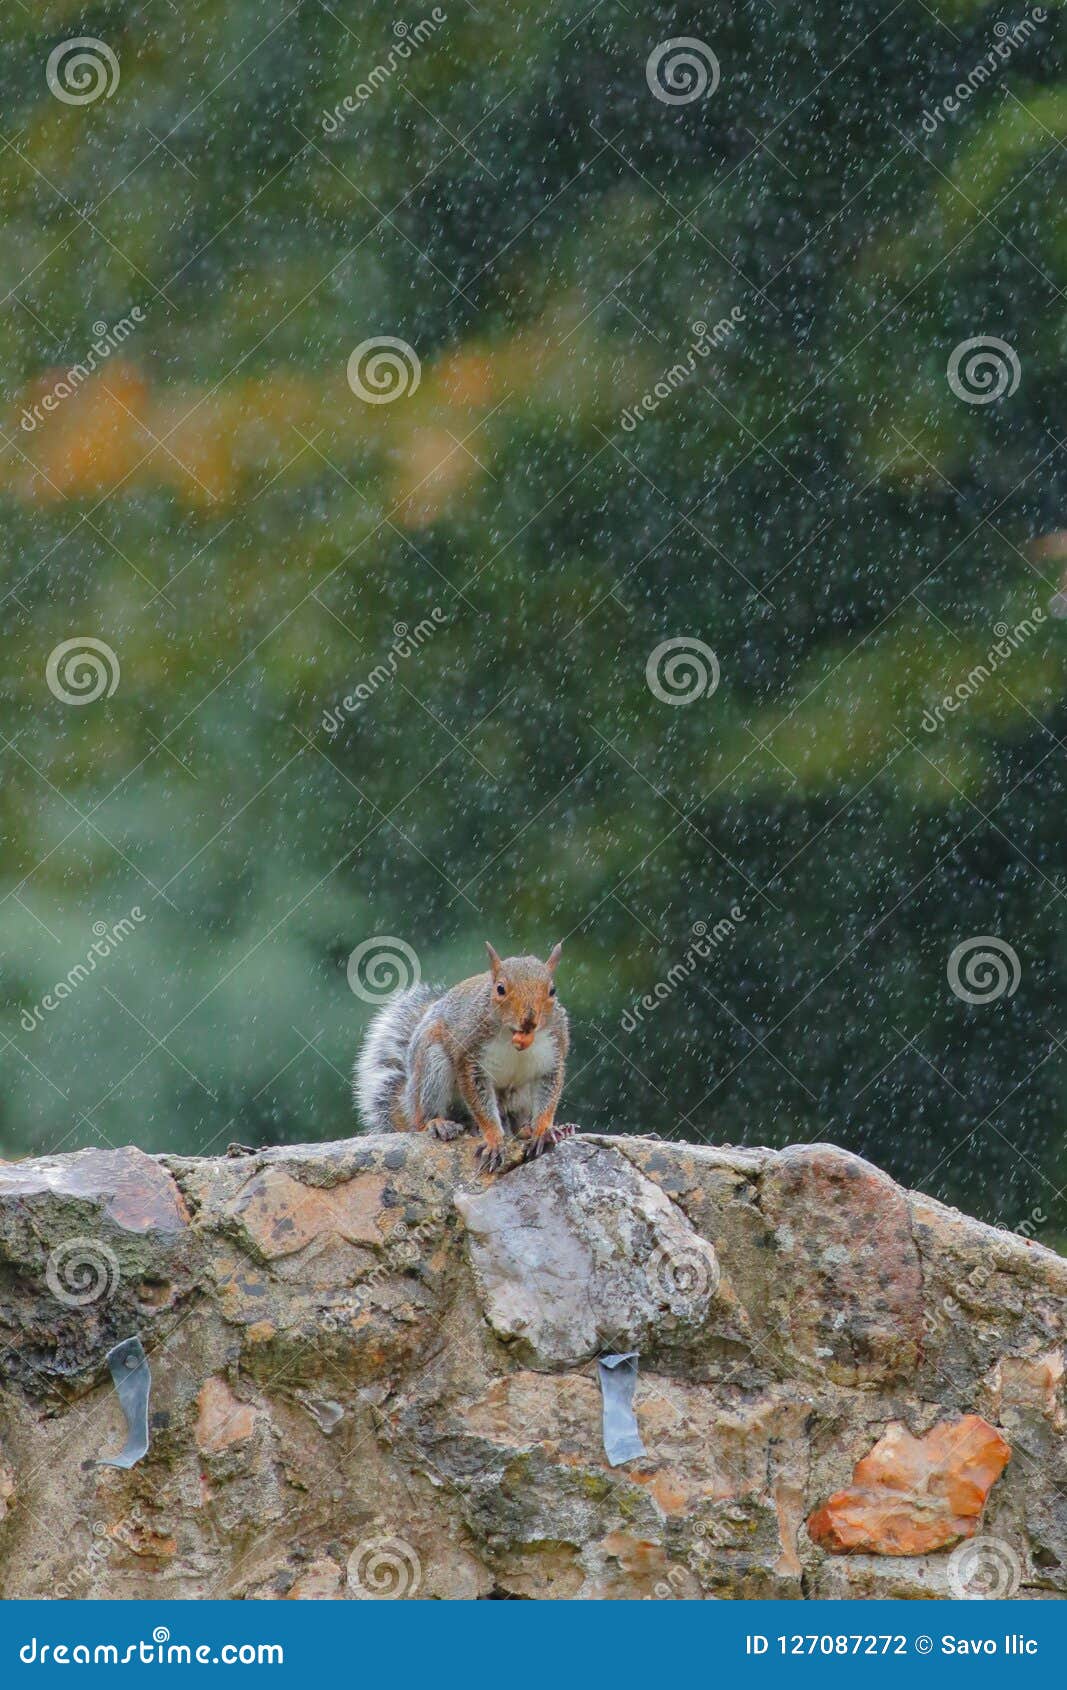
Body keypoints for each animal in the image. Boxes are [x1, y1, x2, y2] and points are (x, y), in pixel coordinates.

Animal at [353, 941, 575, 1173]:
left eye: (552, 990)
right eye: (500, 989)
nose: (529, 1021)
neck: (513, 1037)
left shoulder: (553, 1056)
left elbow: (548, 1098)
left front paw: (544, 1131)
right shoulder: (469, 1058)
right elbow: (480, 1103)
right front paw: (493, 1140)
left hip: (519, 1096)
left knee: (515, 1125)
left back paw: (541, 1129)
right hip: (432, 1065)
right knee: (426, 1117)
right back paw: (438, 1124)